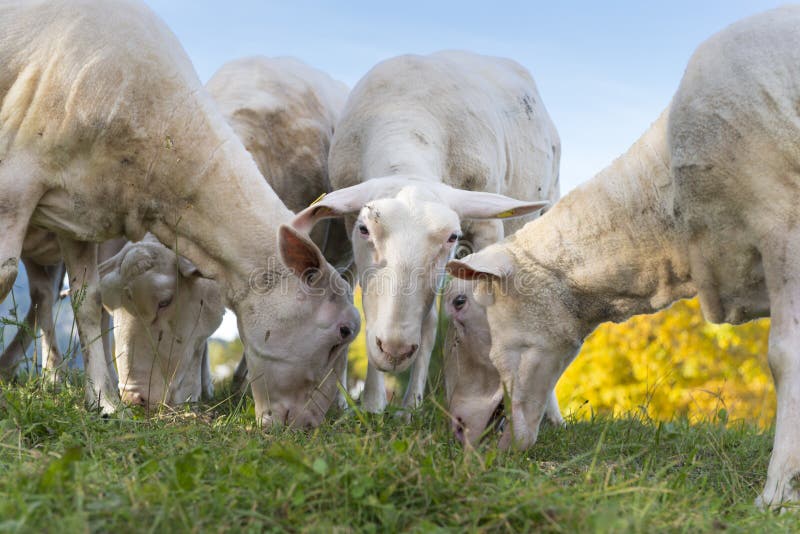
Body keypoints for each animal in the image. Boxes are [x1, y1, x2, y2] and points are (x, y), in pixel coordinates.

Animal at [0, 0, 358, 426]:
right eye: (345, 331)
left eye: (164, 301)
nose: (307, 426)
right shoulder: (15, 186)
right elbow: (7, 280)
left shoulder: (78, 211)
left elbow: (84, 304)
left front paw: (104, 402)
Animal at [293, 50, 559, 412]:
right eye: (364, 229)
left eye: (452, 237)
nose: (396, 350)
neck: (405, 113)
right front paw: (374, 404)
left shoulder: (487, 228)